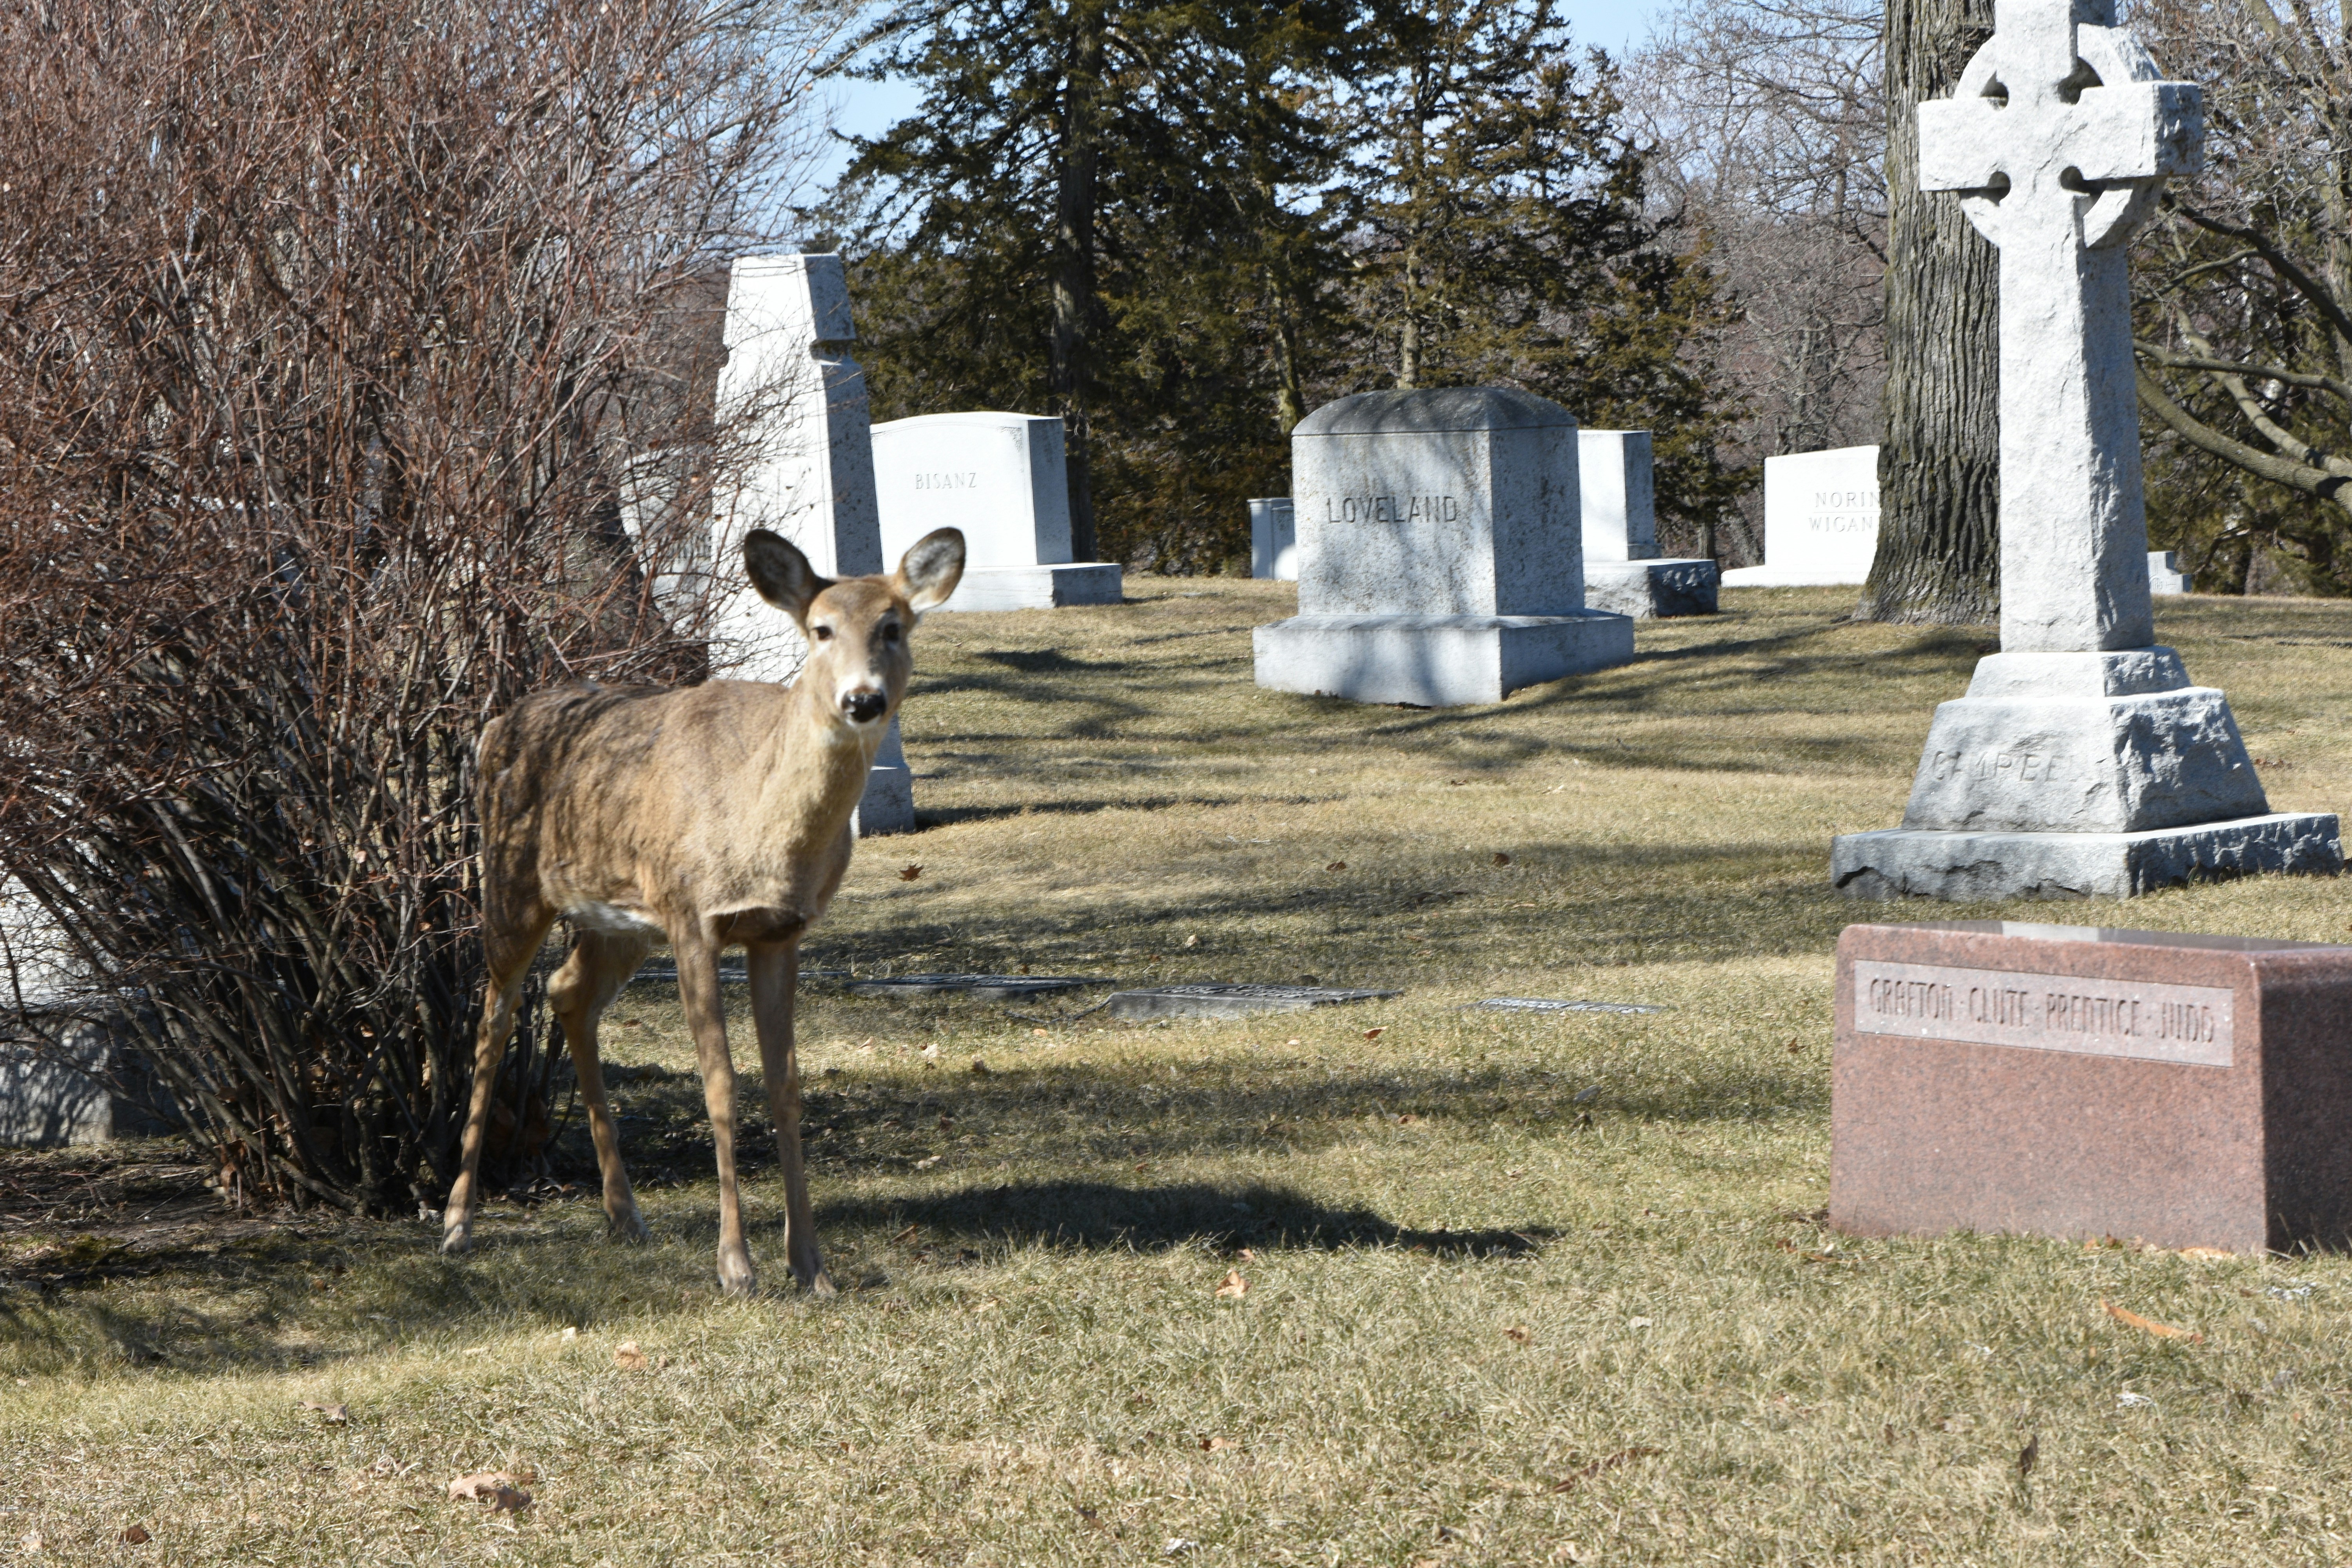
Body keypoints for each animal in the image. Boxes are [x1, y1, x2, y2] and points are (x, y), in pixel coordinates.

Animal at [438, 525, 967, 1298]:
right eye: (820, 629)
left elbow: (785, 1087)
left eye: (893, 627)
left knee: (569, 993)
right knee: (495, 1014)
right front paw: (737, 1267)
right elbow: (719, 1085)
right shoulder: (692, 917)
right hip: (512, 881)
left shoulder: (780, 932)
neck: (758, 823)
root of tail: (495, 725)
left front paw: (811, 1267)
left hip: (621, 919)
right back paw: (457, 1225)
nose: (862, 699)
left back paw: (625, 1216)